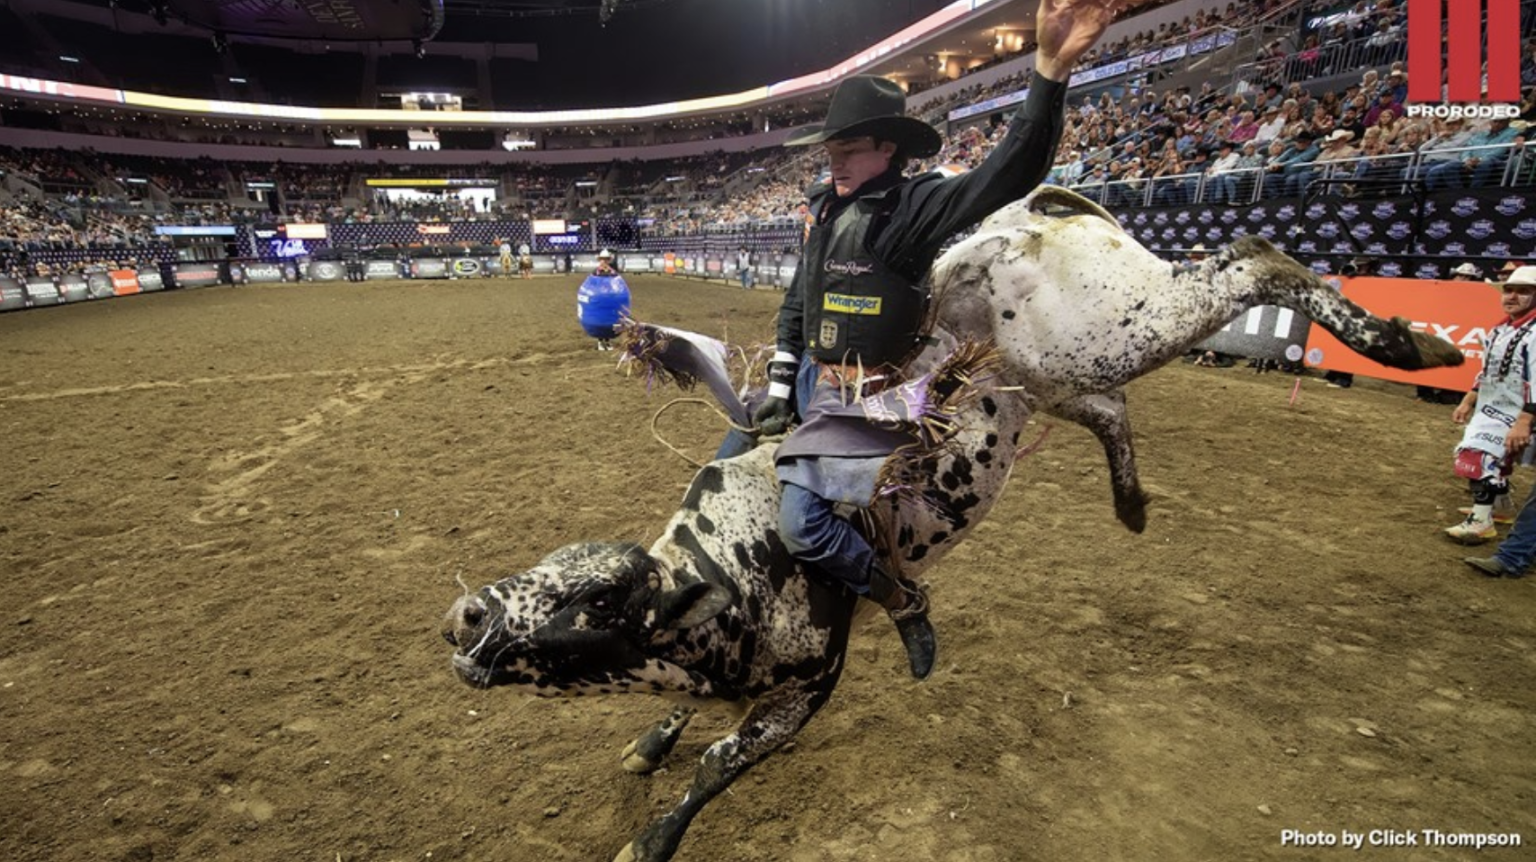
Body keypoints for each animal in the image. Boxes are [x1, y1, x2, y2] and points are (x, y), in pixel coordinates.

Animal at [442, 188, 1462, 862]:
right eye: (554, 560)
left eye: (599, 599)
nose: (468, 616)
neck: (735, 564)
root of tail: (1014, 221)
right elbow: (685, 720)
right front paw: (649, 743)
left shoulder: (803, 696)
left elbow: (719, 761)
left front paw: (652, 838)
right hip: (1052, 376)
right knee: (1112, 410)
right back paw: (1132, 503)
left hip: (1116, 324)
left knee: (1253, 257)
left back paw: (1411, 342)